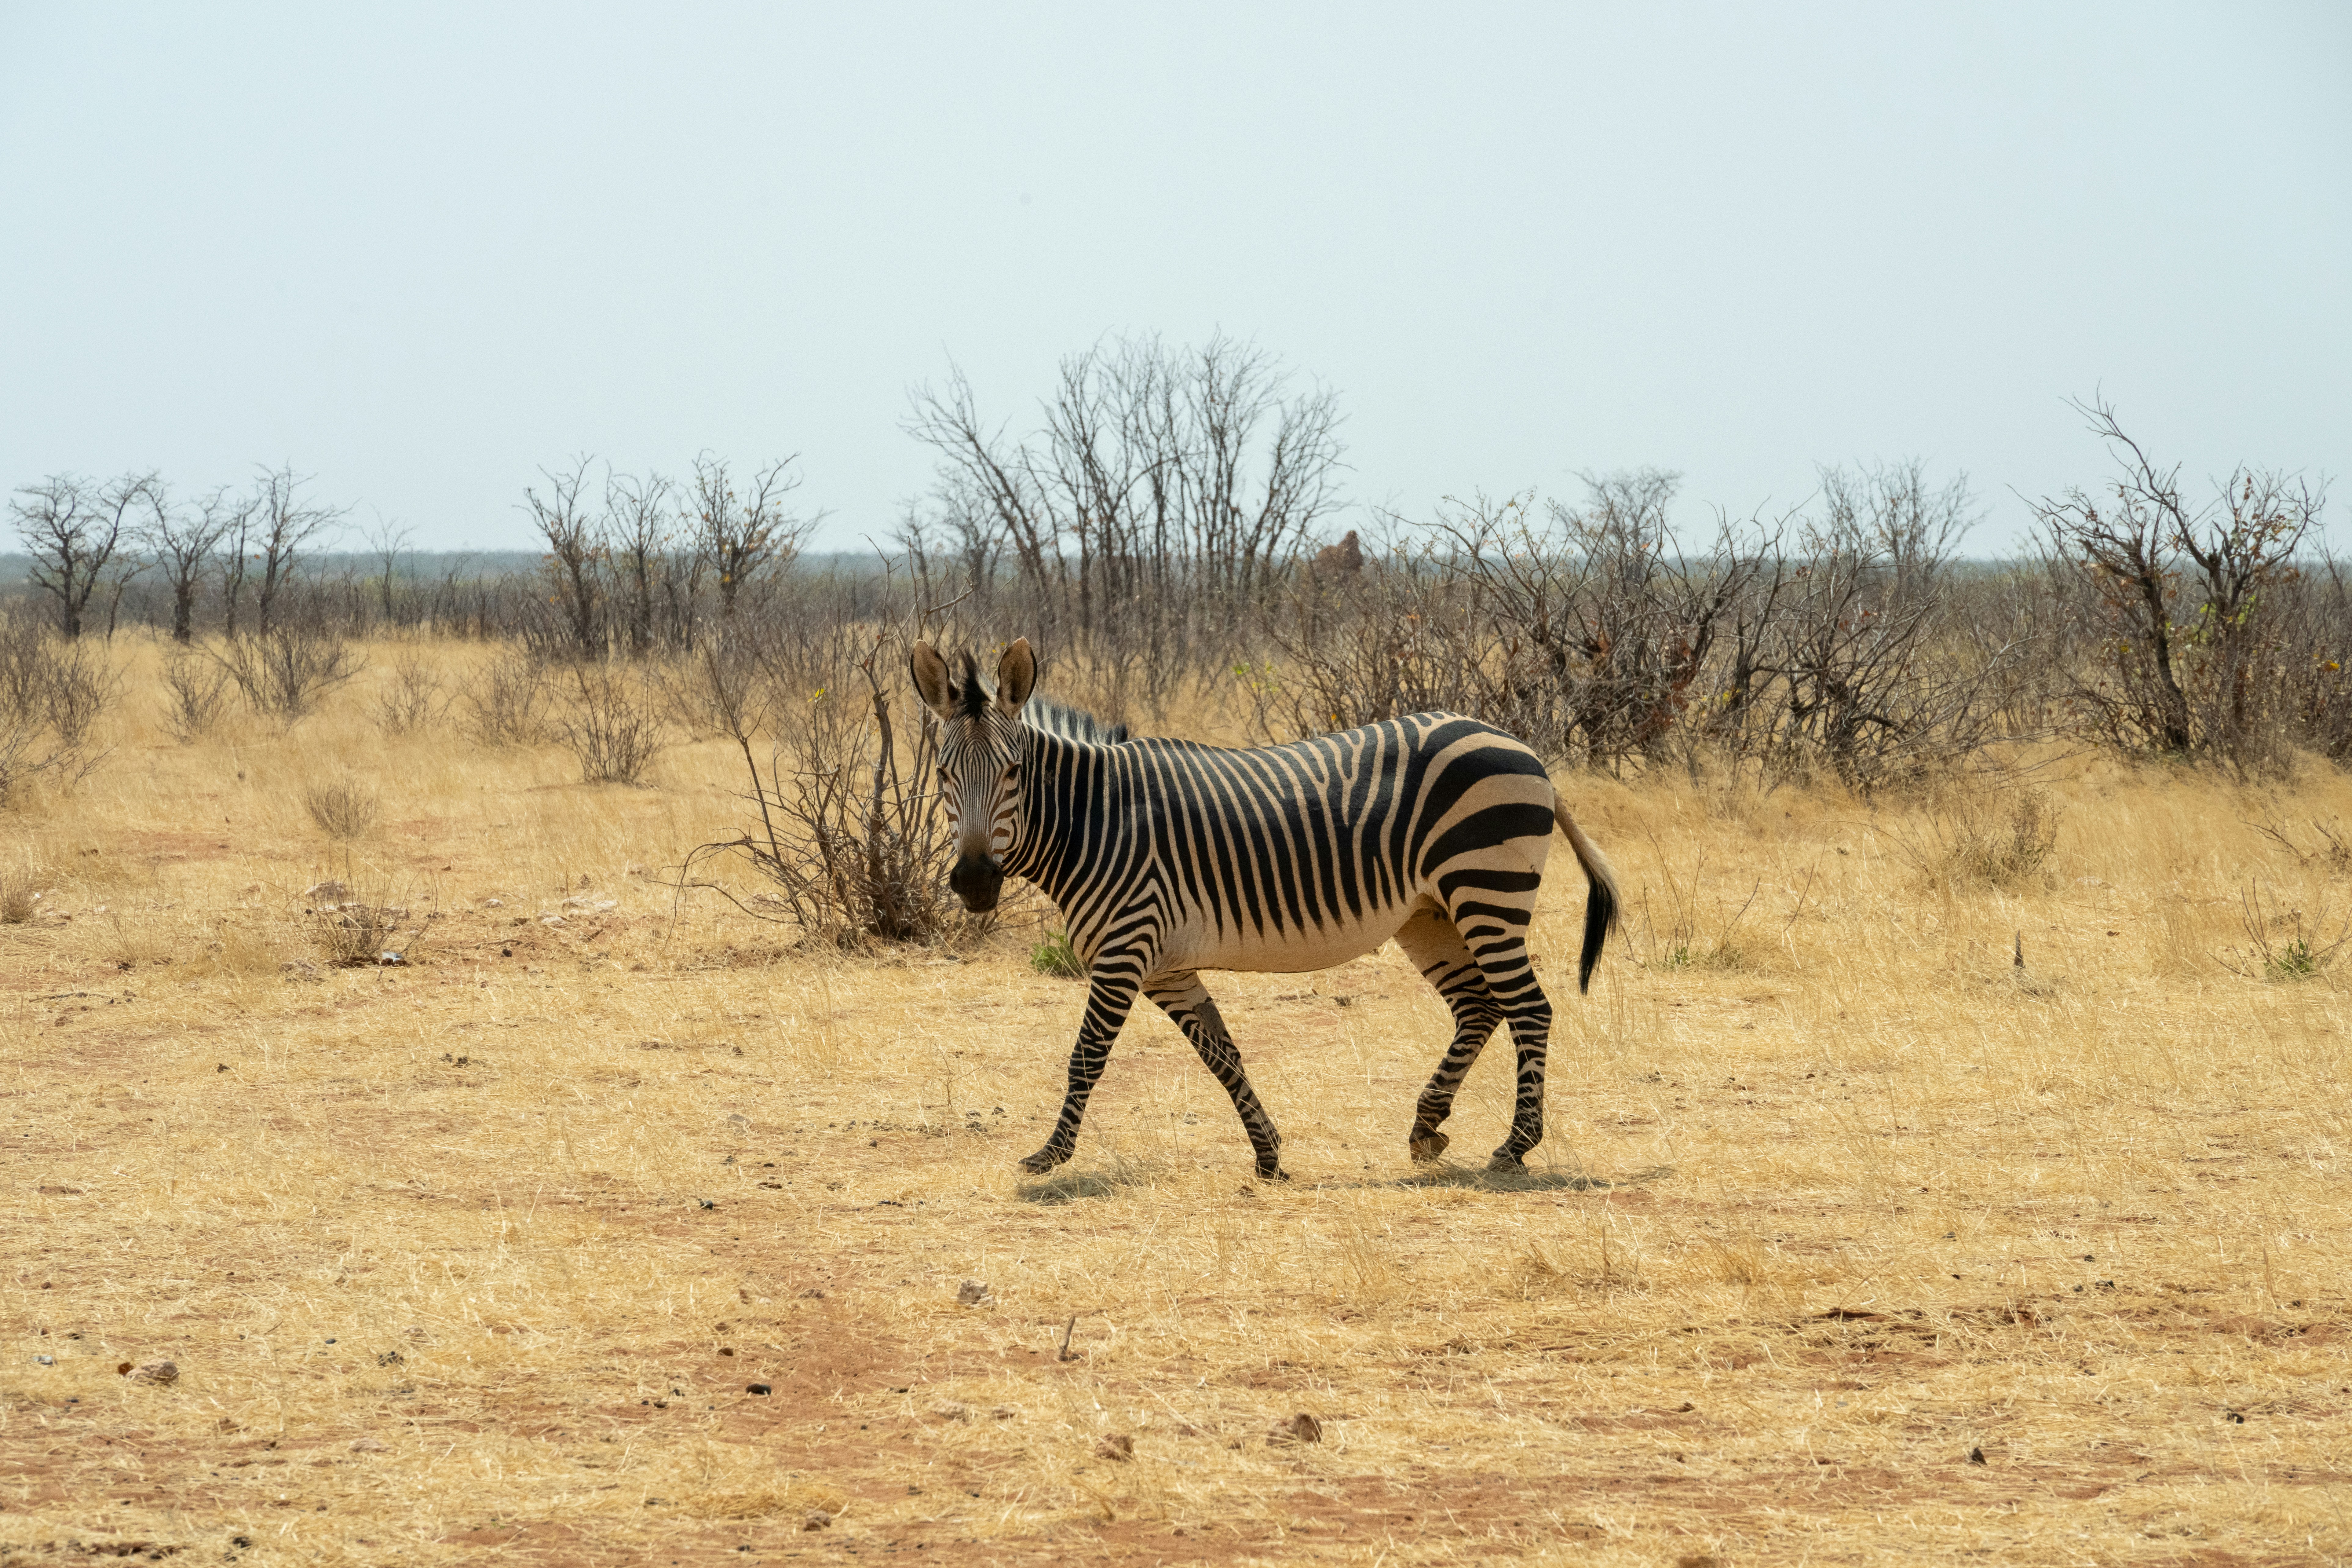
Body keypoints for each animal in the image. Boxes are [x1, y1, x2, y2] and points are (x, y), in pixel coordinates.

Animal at [911, 636, 1621, 1180]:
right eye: (943, 774)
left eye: (1013, 772)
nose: (974, 882)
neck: (1095, 822)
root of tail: (1518, 744)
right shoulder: (1166, 967)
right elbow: (1223, 1055)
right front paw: (1269, 1153)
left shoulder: (1125, 950)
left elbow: (1086, 1054)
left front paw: (1050, 1154)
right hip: (1429, 913)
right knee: (1479, 1008)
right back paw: (1426, 1126)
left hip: (1485, 889)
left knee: (1529, 1009)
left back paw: (1515, 1145)